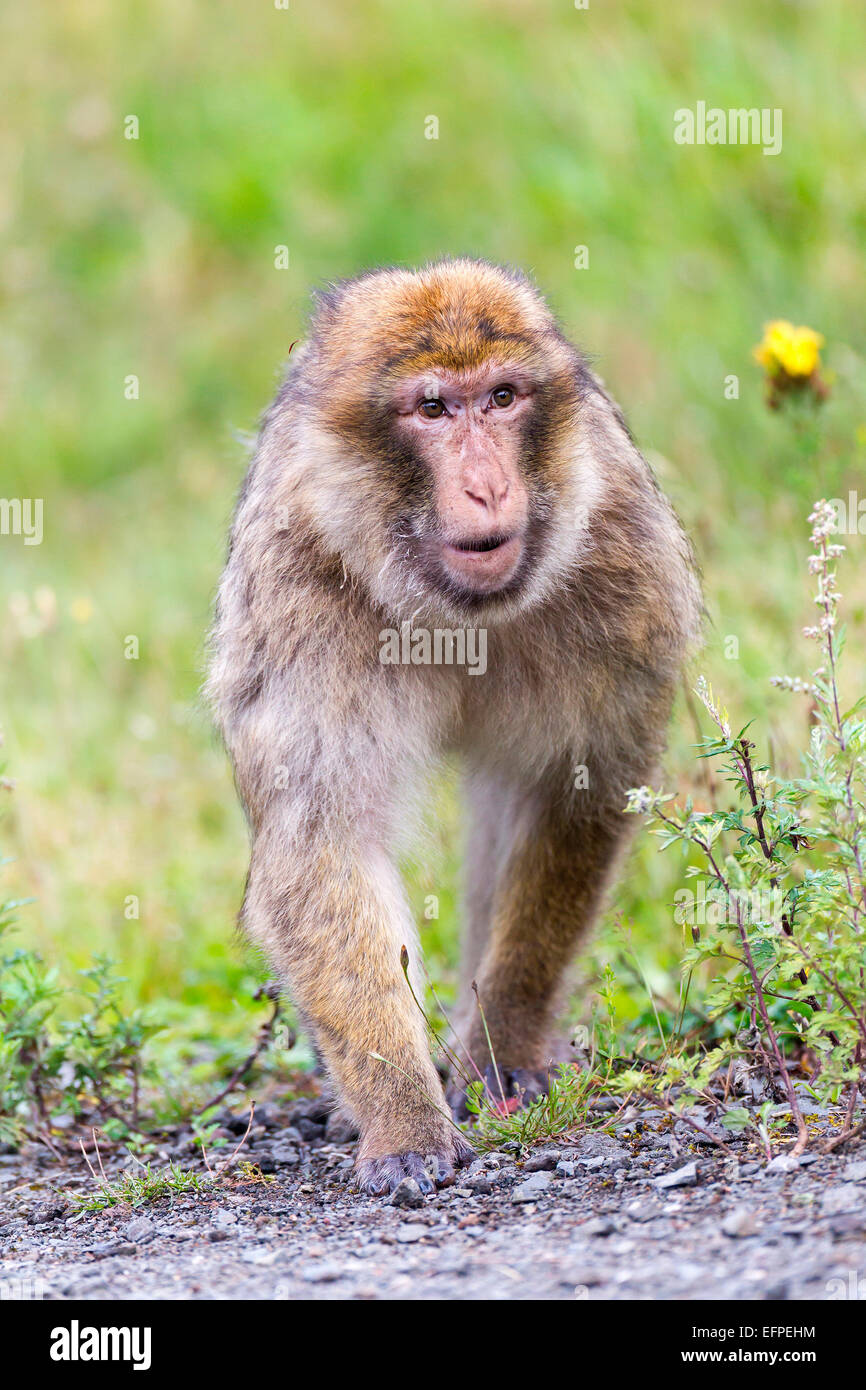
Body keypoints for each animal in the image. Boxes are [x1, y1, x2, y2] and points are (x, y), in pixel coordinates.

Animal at [207, 258, 701, 1196]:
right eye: (432, 409)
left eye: (501, 397)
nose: (487, 485)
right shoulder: (296, 590)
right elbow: (325, 843)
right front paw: (403, 1117)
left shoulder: (619, 561)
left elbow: (568, 793)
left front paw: (502, 1047)